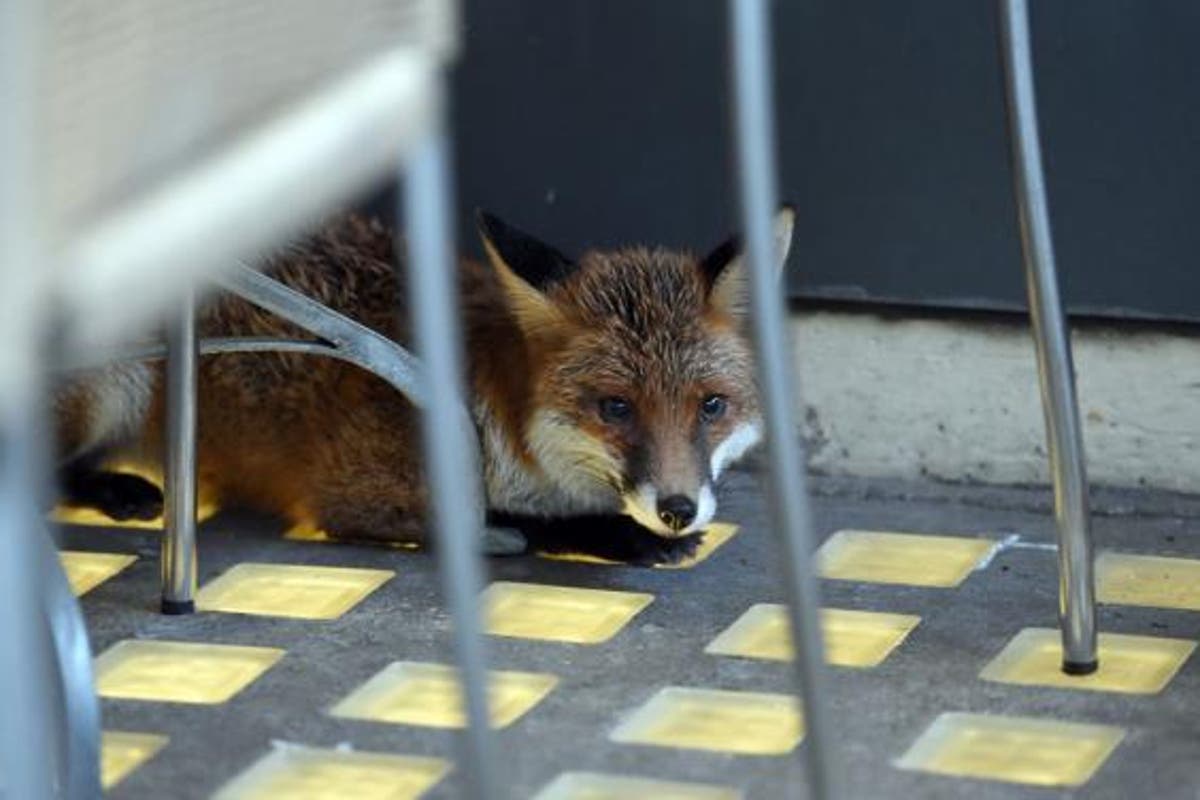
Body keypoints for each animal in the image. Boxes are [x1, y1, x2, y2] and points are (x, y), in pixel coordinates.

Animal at [53, 207, 794, 565]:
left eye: (713, 406)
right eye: (615, 407)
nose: (677, 509)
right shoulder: (356, 495)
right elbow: (506, 523)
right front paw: (627, 537)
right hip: (120, 381)